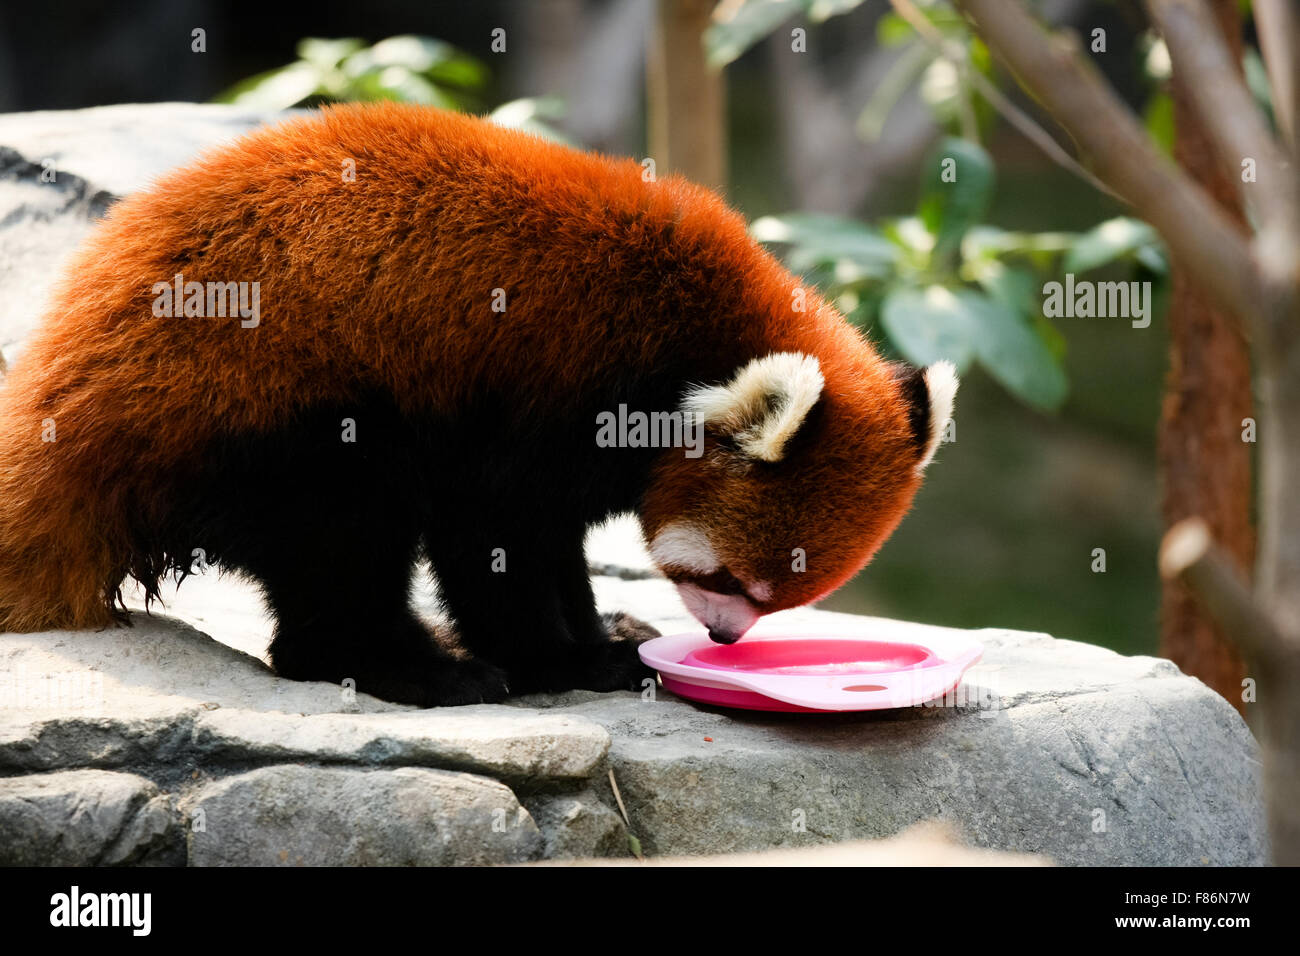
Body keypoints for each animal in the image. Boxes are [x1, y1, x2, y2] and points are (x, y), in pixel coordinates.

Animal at [0, 102, 956, 706]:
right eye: (729, 582)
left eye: (778, 601)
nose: (724, 641)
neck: (694, 342)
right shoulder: (544, 386)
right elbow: (496, 536)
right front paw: (570, 661)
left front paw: (601, 626)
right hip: (260, 409)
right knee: (347, 532)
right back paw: (417, 670)